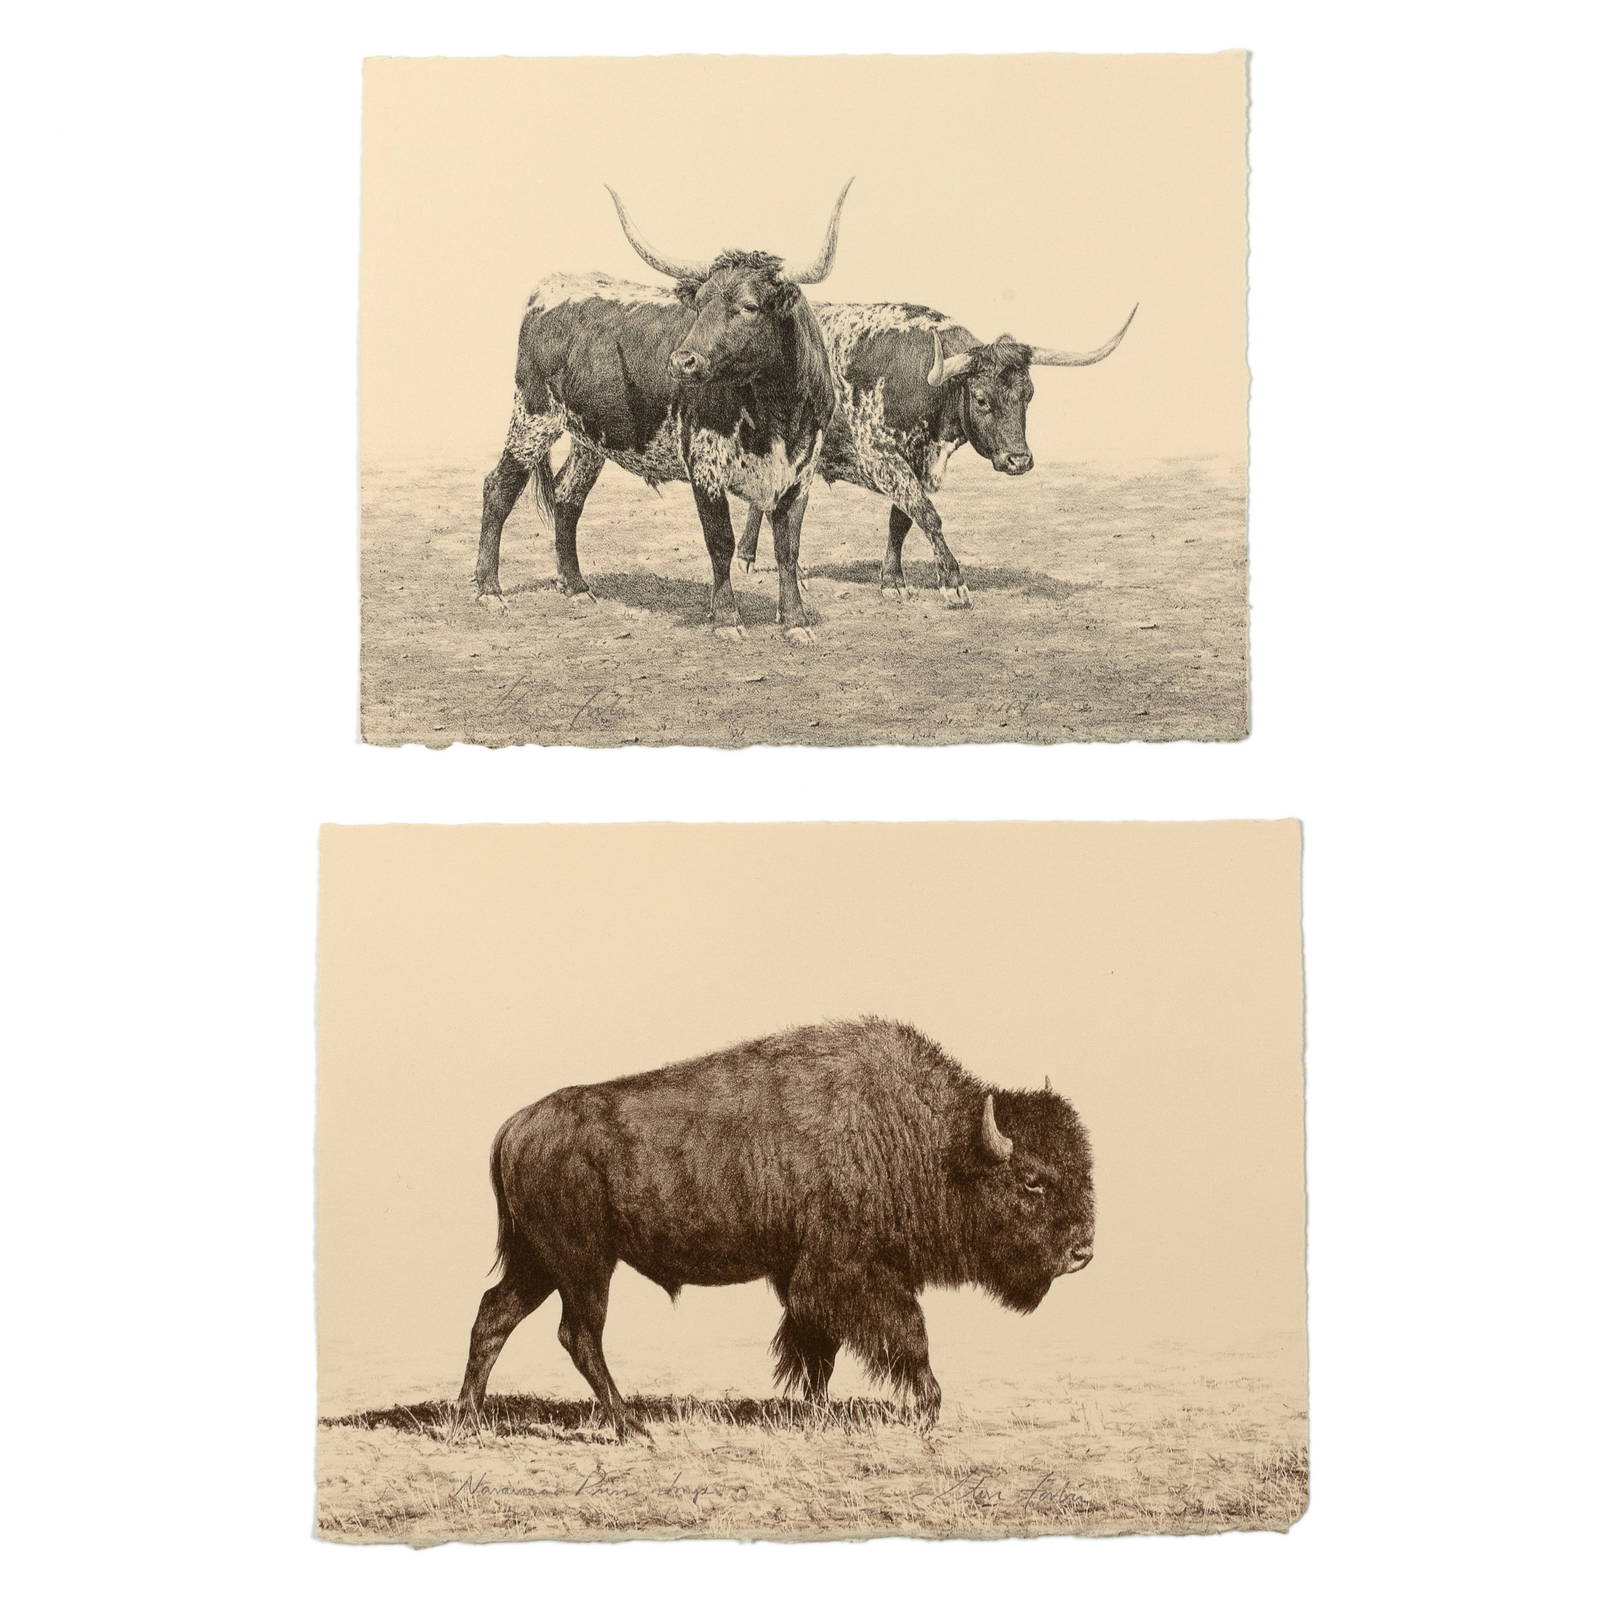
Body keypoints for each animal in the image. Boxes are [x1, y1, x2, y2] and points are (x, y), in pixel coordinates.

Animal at [455, 1016, 1095, 1441]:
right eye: (1032, 1182)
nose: (1082, 1251)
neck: (929, 1141)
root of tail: (515, 1127)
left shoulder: (807, 1279)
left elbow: (818, 1349)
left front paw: (815, 1412)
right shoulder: (848, 1273)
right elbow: (907, 1333)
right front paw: (928, 1407)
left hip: (541, 1262)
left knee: (494, 1315)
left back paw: (469, 1419)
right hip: (584, 1263)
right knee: (578, 1334)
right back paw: (632, 1425)